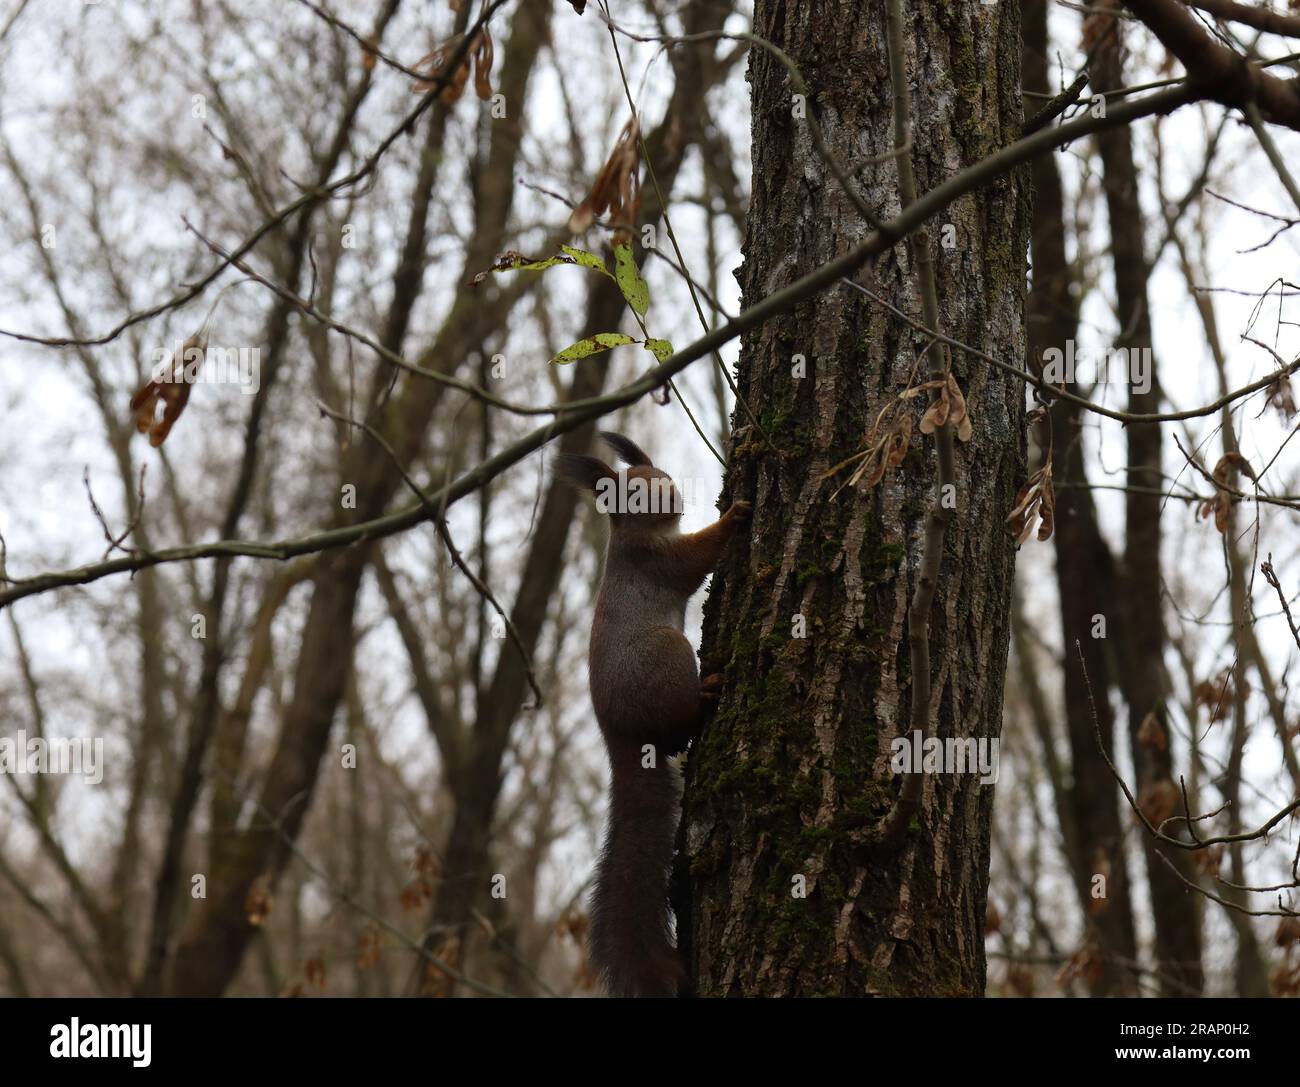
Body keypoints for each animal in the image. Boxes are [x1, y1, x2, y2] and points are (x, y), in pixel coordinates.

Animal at [557, 432, 752, 998]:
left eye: (665, 477)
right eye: (635, 494)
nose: (677, 500)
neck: (636, 535)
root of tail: (616, 736)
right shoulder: (656, 560)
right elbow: (696, 556)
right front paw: (733, 515)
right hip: (668, 654)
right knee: (677, 723)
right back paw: (706, 692)